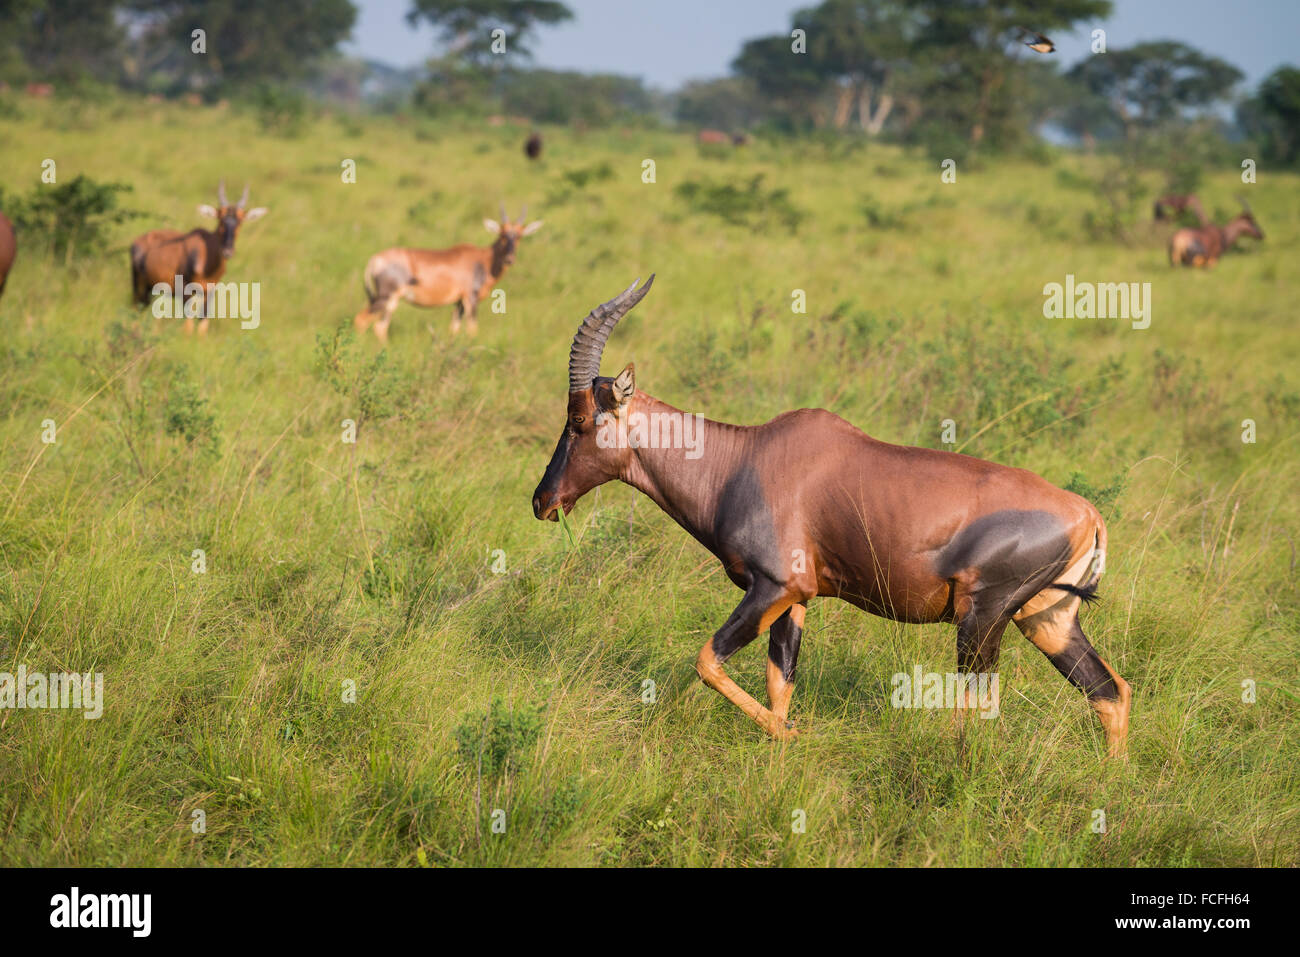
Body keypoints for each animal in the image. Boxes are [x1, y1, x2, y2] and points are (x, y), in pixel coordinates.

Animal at [130, 182, 268, 334]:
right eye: (220, 219)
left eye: (240, 220)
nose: (228, 251)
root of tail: (138, 241)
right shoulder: (185, 289)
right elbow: (188, 324)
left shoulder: (210, 291)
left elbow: (203, 323)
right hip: (138, 283)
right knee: (136, 307)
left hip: (151, 288)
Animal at [353, 206, 543, 343]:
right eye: (502, 234)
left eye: (519, 236)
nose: (509, 259)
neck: (482, 259)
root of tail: (374, 260)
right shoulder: (470, 299)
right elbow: (472, 330)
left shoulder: (458, 303)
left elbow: (454, 330)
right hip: (387, 297)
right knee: (363, 321)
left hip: (386, 301)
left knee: (378, 326)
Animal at [533, 277, 1132, 757]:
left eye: (579, 418)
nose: (542, 501)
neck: (745, 459)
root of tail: (1087, 513)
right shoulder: (795, 599)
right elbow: (780, 685)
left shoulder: (774, 587)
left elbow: (707, 661)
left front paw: (795, 737)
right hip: (1047, 618)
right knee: (1111, 691)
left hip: (982, 619)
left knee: (978, 708)